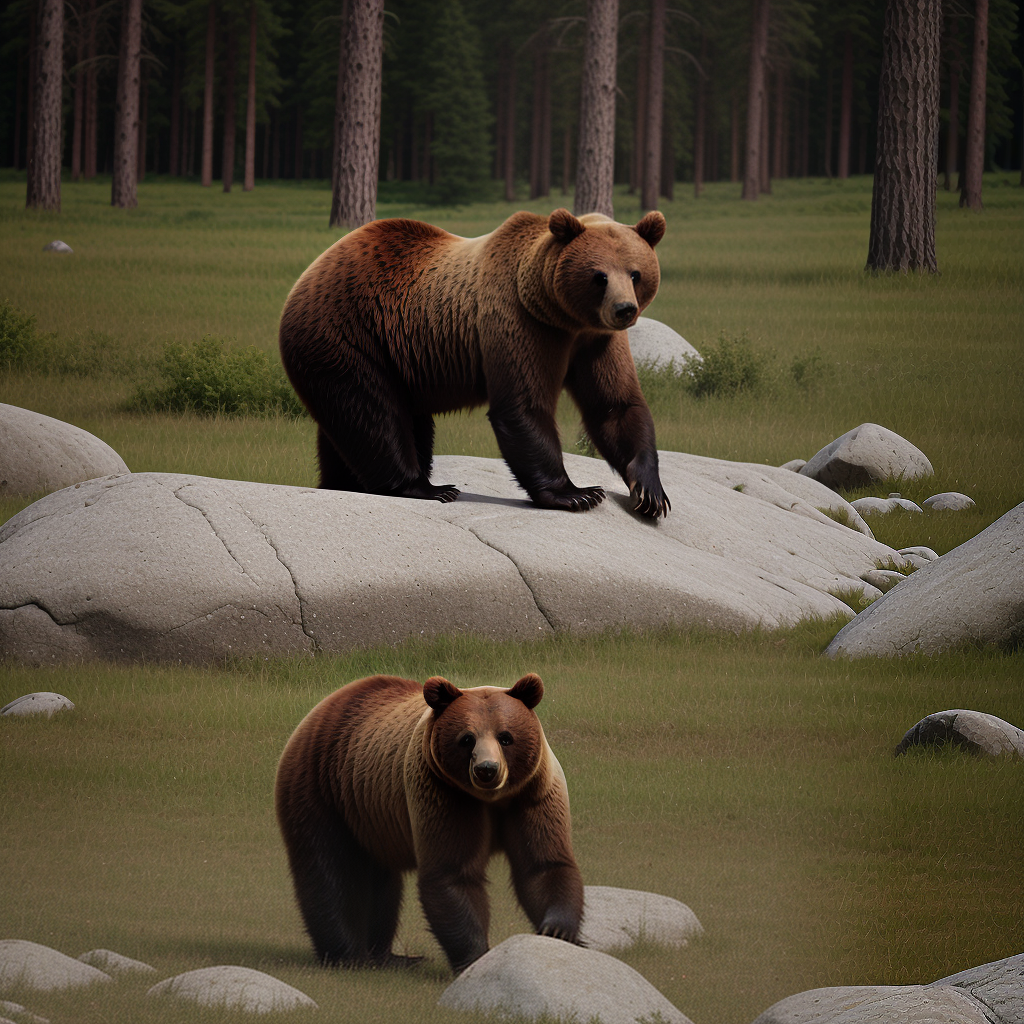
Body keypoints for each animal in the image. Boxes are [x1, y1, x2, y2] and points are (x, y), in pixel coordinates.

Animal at [274, 672, 584, 973]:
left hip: (371, 817)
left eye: (506, 737)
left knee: (381, 882)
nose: (486, 769)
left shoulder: (532, 793)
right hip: (322, 789)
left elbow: (543, 864)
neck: (493, 799)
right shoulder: (442, 793)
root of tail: (326, 705)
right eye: (467, 738)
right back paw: (349, 955)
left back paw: (387, 956)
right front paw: (476, 955)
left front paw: (557, 930)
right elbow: (451, 872)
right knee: (329, 870)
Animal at [278, 207, 670, 517]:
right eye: (599, 276)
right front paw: (577, 494)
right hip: (351, 336)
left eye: (635, 273)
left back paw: (339, 482)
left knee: (363, 425)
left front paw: (651, 491)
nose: (624, 309)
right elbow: (522, 406)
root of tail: (309, 273)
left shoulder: (596, 340)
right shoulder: (518, 321)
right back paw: (427, 487)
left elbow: (614, 404)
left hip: (392, 359)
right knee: (375, 415)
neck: (561, 314)